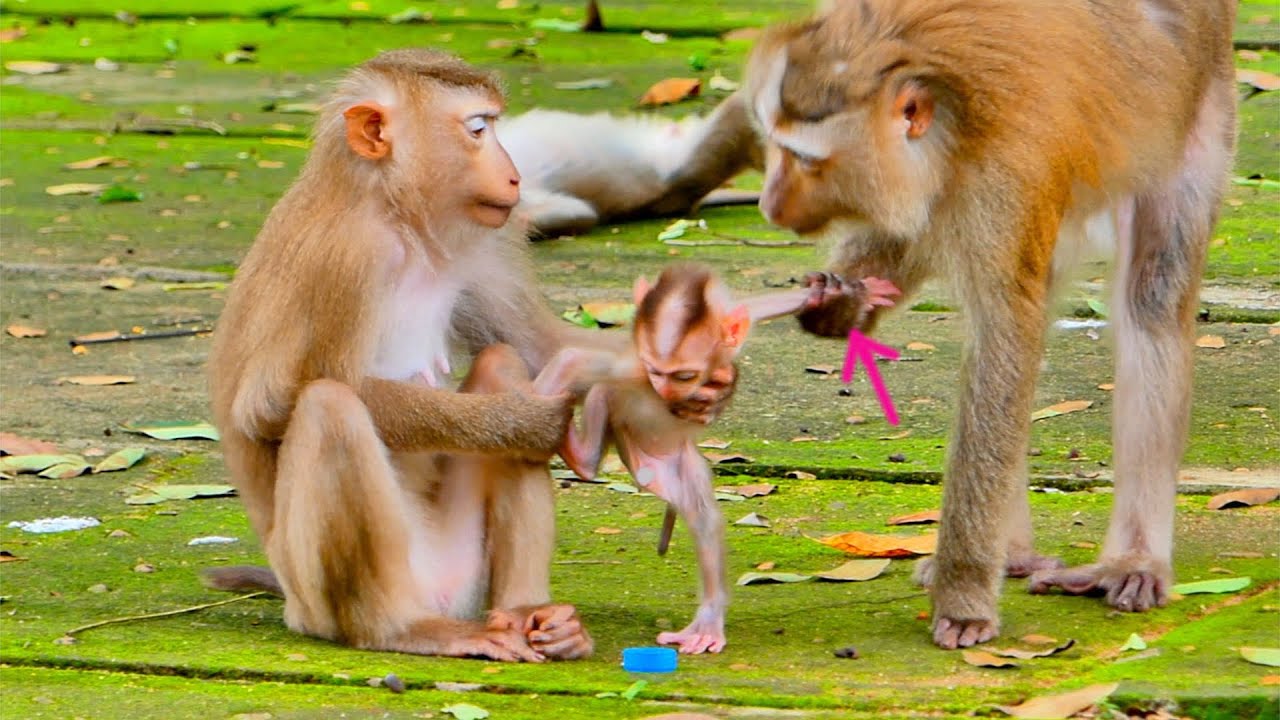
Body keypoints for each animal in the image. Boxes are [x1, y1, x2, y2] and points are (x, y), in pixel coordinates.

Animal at [531, 264, 900, 654]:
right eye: (655, 370)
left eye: (684, 375)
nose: (664, 389)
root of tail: (645, 470)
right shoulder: (629, 366)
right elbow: (573, 359)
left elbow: (753, 309)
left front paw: (837, 293)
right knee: (603, 398)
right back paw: (582, 457)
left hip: (678, 463)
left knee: (703, 518)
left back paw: (707, 621)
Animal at [743, 0, 1236, 649]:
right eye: (773, 148)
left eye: (803, 158)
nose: (769, 204)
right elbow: (912, 237)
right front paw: (839, 300)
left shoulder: (1009, 172)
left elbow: (1006, 332)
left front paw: (965, 593)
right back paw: (1015, 553)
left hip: (1193, 117)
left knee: (1152, 294)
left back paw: (1129, 561)